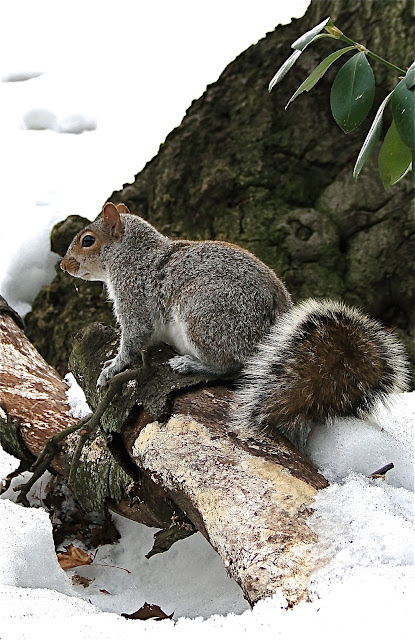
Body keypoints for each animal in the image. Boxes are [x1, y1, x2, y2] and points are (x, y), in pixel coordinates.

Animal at [60, 202, 409, 449]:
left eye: (87, 240)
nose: (63, 265)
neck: (132, 256)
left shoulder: (134, 297)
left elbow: (134, 339)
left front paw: (112, 368)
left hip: (203, 316)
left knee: (230, 366)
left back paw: (190, 364)